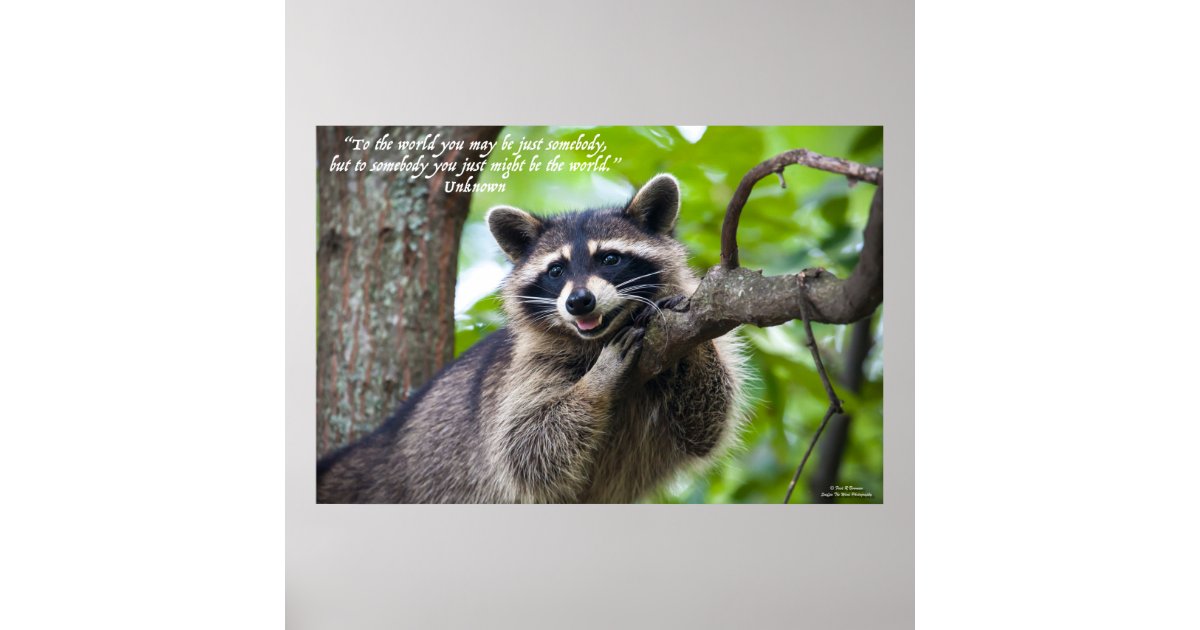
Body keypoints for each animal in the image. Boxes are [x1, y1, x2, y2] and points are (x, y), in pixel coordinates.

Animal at [317, 175, 747, 503]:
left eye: (610, 259)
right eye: (556, 270)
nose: (579, 301)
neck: (600, 335)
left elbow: (704, 424)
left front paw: (694, 345)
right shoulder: (525, 371)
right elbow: (527, 446)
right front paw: (597, 383)